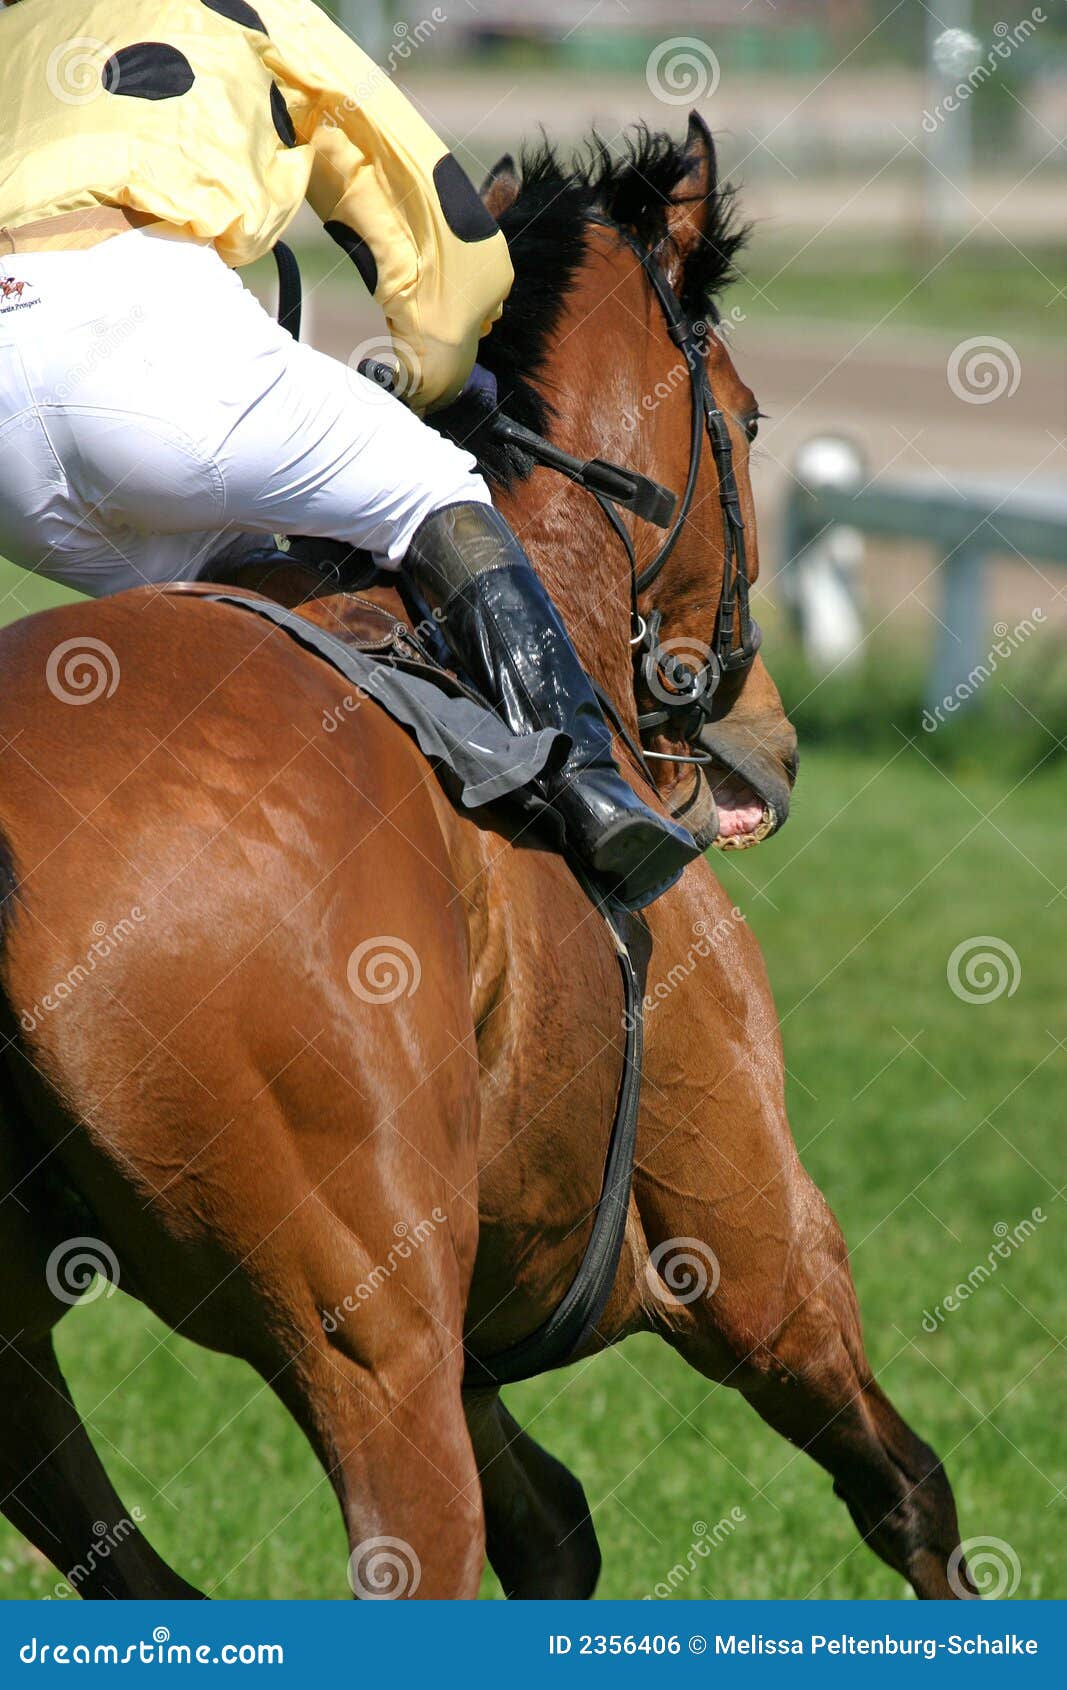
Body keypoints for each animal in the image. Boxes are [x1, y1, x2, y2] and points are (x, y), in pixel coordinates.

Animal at [0, 118, 973, 1600]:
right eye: (745, 419)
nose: (763, 741)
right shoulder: (748, 1243)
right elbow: (906, 1491)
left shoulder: (482, 1316)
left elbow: (554, 1523)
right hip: (366, 1332)